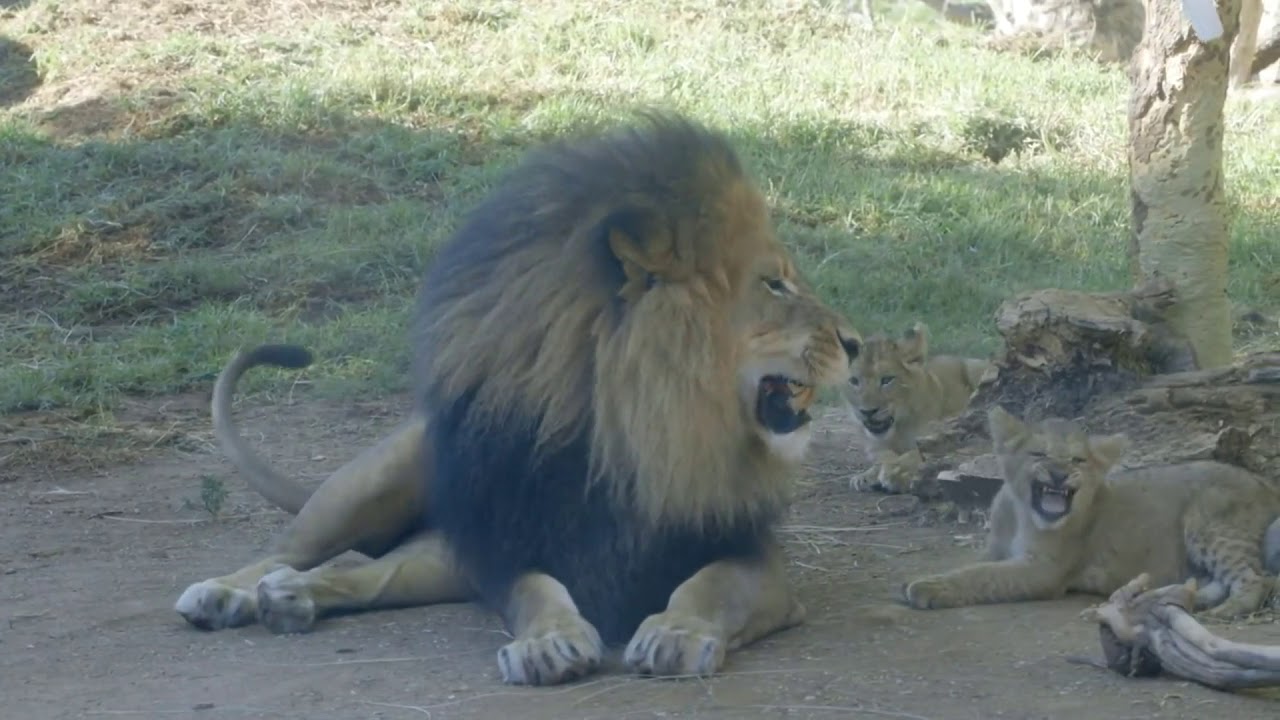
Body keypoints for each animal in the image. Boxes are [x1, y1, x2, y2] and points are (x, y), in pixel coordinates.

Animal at [173, 113, 862, 686]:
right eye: (774, 284)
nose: (857, 343)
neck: (648, 427)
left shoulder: (751, 555)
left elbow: (709, 587)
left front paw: (676, 633)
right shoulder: (517, 541)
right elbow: (536, 590)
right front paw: (547, 646)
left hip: (438, 555)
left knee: (364, 572)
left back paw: (289, 597)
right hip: (374, 484)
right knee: (289, 551)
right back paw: (226, 594)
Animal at [842, 322, 995, 494]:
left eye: (887, 380)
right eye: (854, 381)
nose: (867, 412)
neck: (897, 432)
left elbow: (922, 451)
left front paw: (896, 472)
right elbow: (883, 457)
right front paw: (865, 476)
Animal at [901, 406, 1280, 617]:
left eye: (1078, 460)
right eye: (1039, 454)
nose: (1059, 474)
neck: (1022, 514)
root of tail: (1267, 483)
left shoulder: (1044, 570)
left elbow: (981, 576)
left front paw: (927, 588)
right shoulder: (997, 551)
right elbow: (972, 566)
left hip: (1208, 524)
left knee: (1255, 578)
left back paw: (1224, 611)